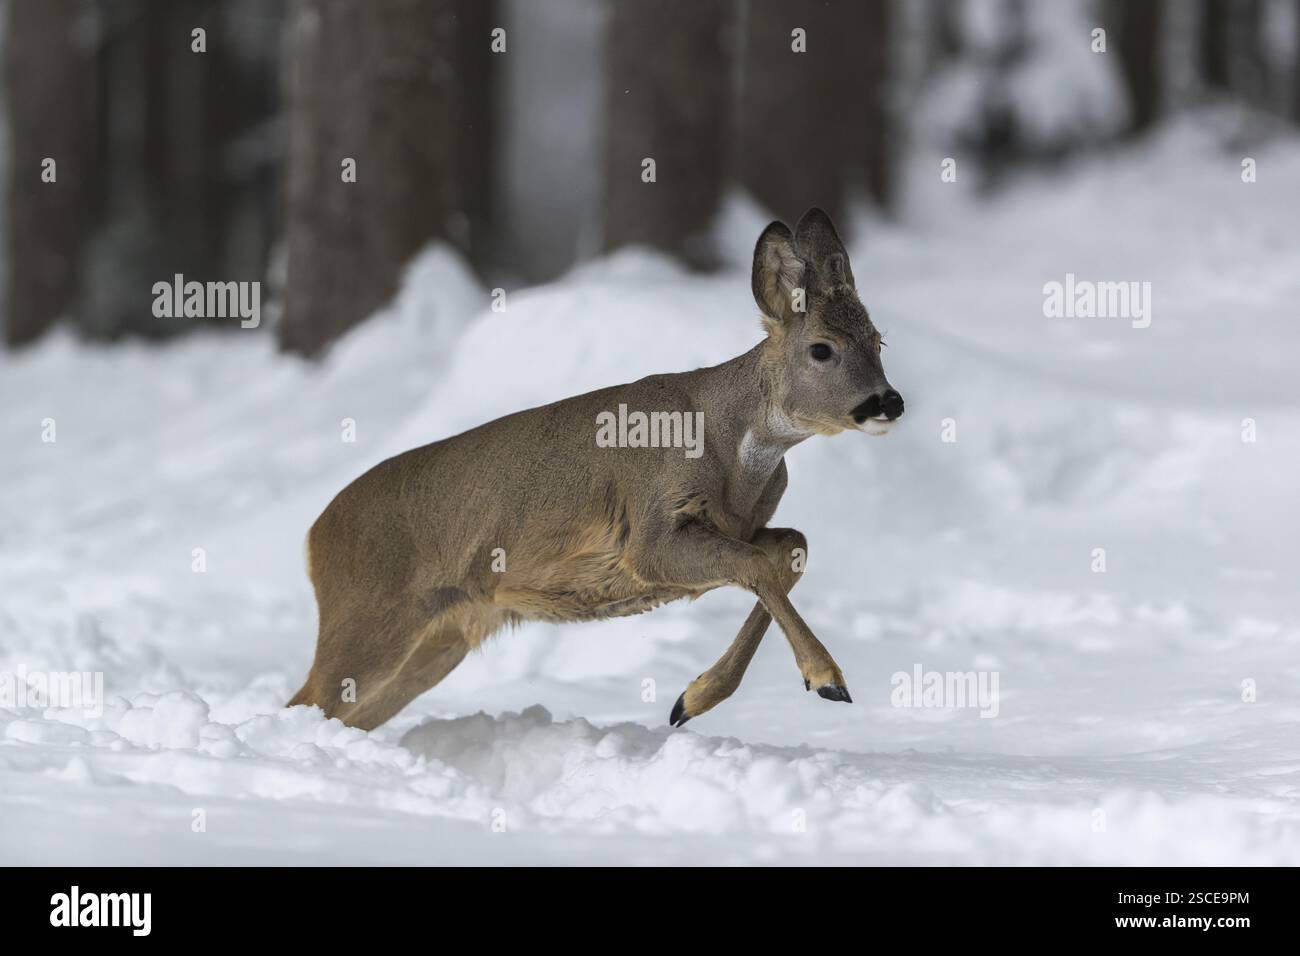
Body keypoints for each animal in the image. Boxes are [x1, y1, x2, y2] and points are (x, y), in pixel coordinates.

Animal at [288, 207, 904, 730]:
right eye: (822, 348)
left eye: (878, 341)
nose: (888, 402)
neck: (730, 447)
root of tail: (313, 536)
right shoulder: (650, 530)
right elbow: (756, 566)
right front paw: (827, 679)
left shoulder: (743, 525)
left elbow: (790, 549)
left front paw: (691, 699)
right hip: (369, 611)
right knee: (307, 698)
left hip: (440, 639)